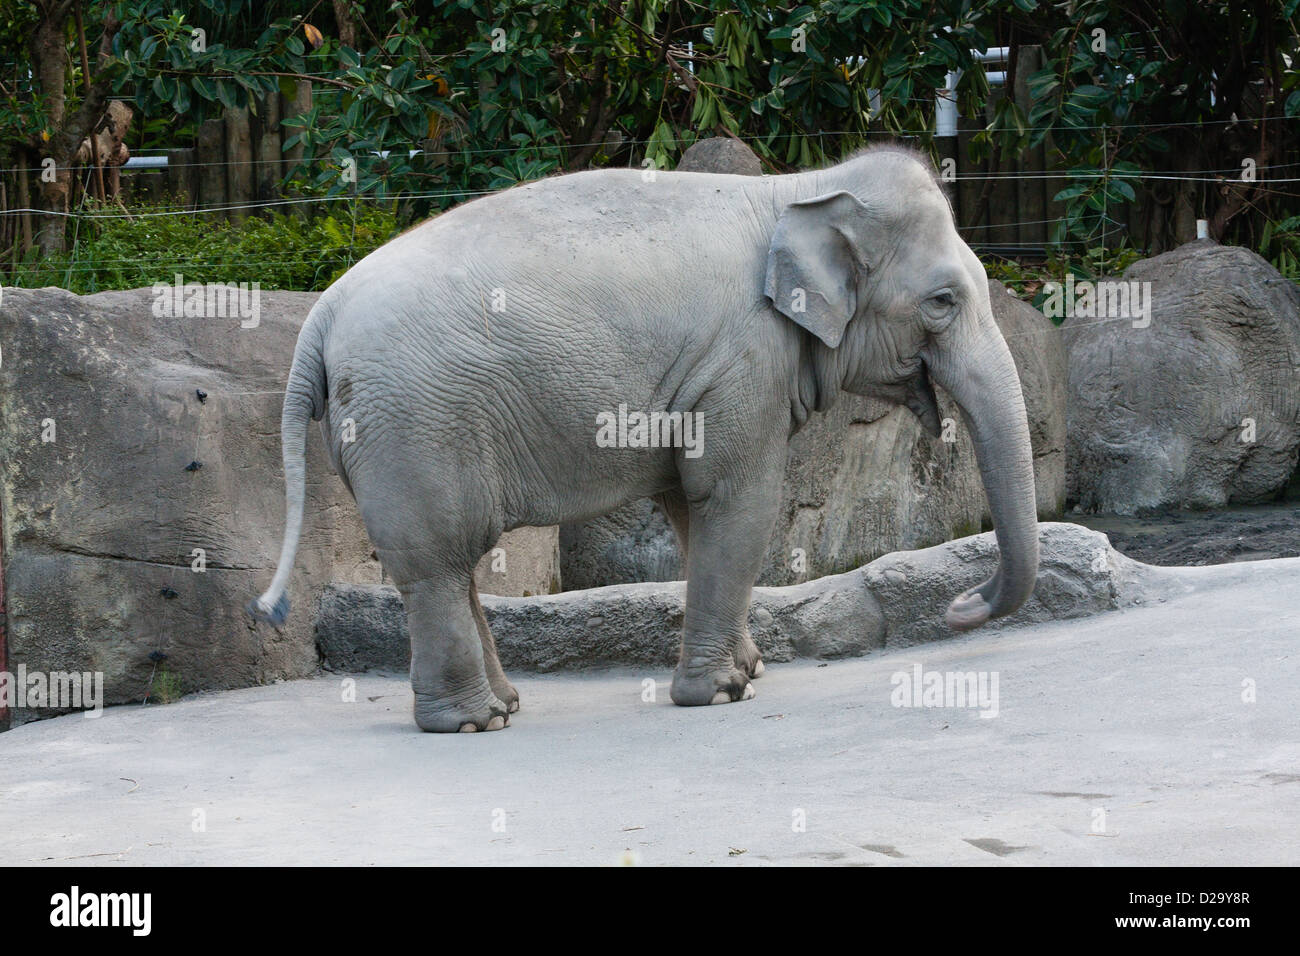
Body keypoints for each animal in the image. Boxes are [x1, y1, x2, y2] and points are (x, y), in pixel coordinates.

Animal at [249, 144, 1040, 733]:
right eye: (943, 302)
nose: (958, 605)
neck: (799, 188)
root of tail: (320, 319)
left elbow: (694, 510)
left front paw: (748, 671)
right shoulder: (742, 361)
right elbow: (738, 501)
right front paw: (721, 693)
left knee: (451, 562)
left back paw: (504, 707)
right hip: (415, 422)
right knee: (437, 560)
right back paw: (473, 722)